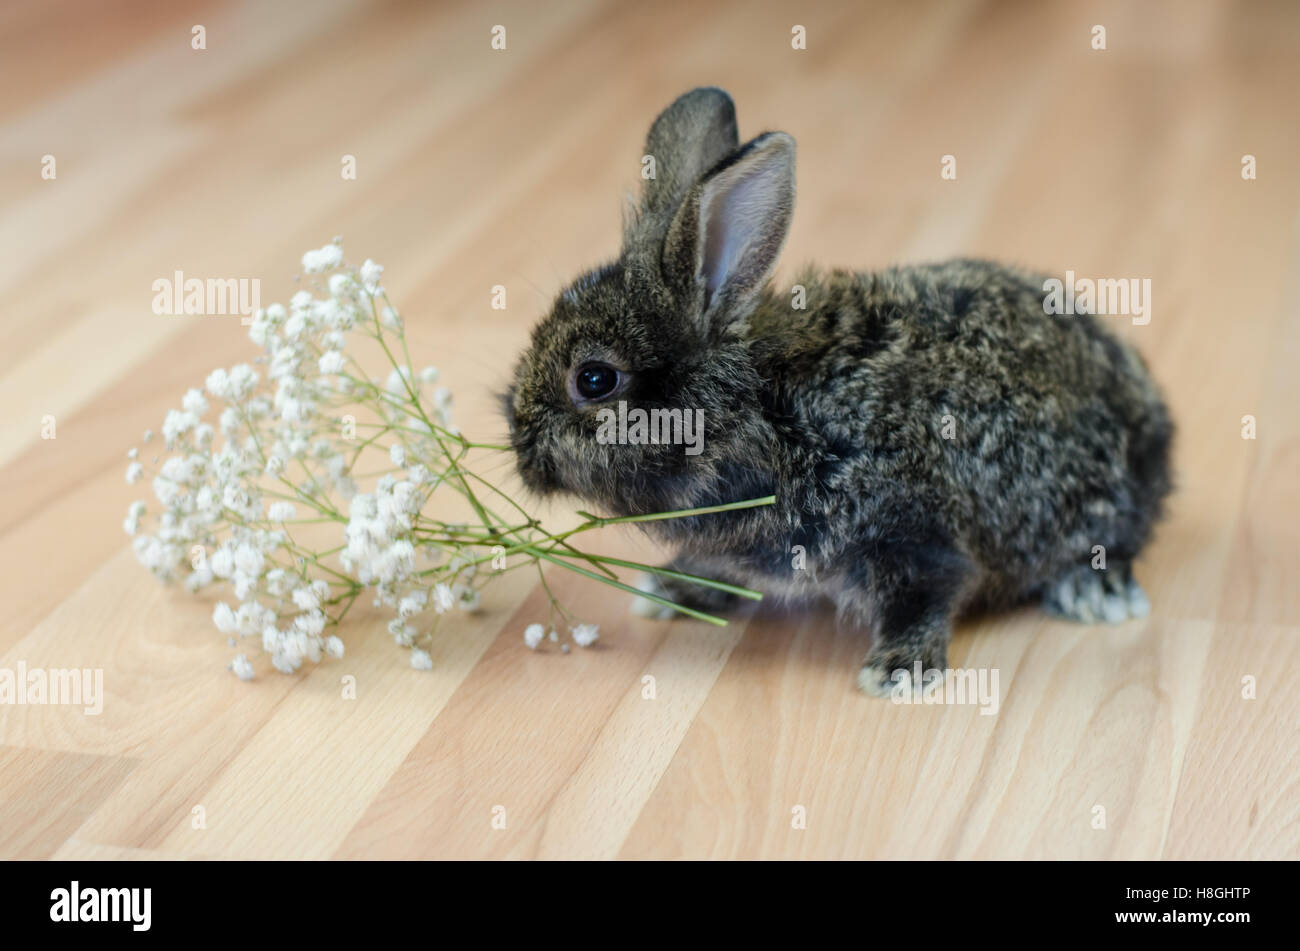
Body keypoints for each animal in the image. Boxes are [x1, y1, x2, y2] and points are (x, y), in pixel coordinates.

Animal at [504, 86, 1173, 695]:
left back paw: (1096, 591)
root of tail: (1154, 419)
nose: (520, 444)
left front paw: (898, 671)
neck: (756, 413)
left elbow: (930, 592)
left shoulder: (908, 526)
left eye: (594, 379)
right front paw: (669, 587)